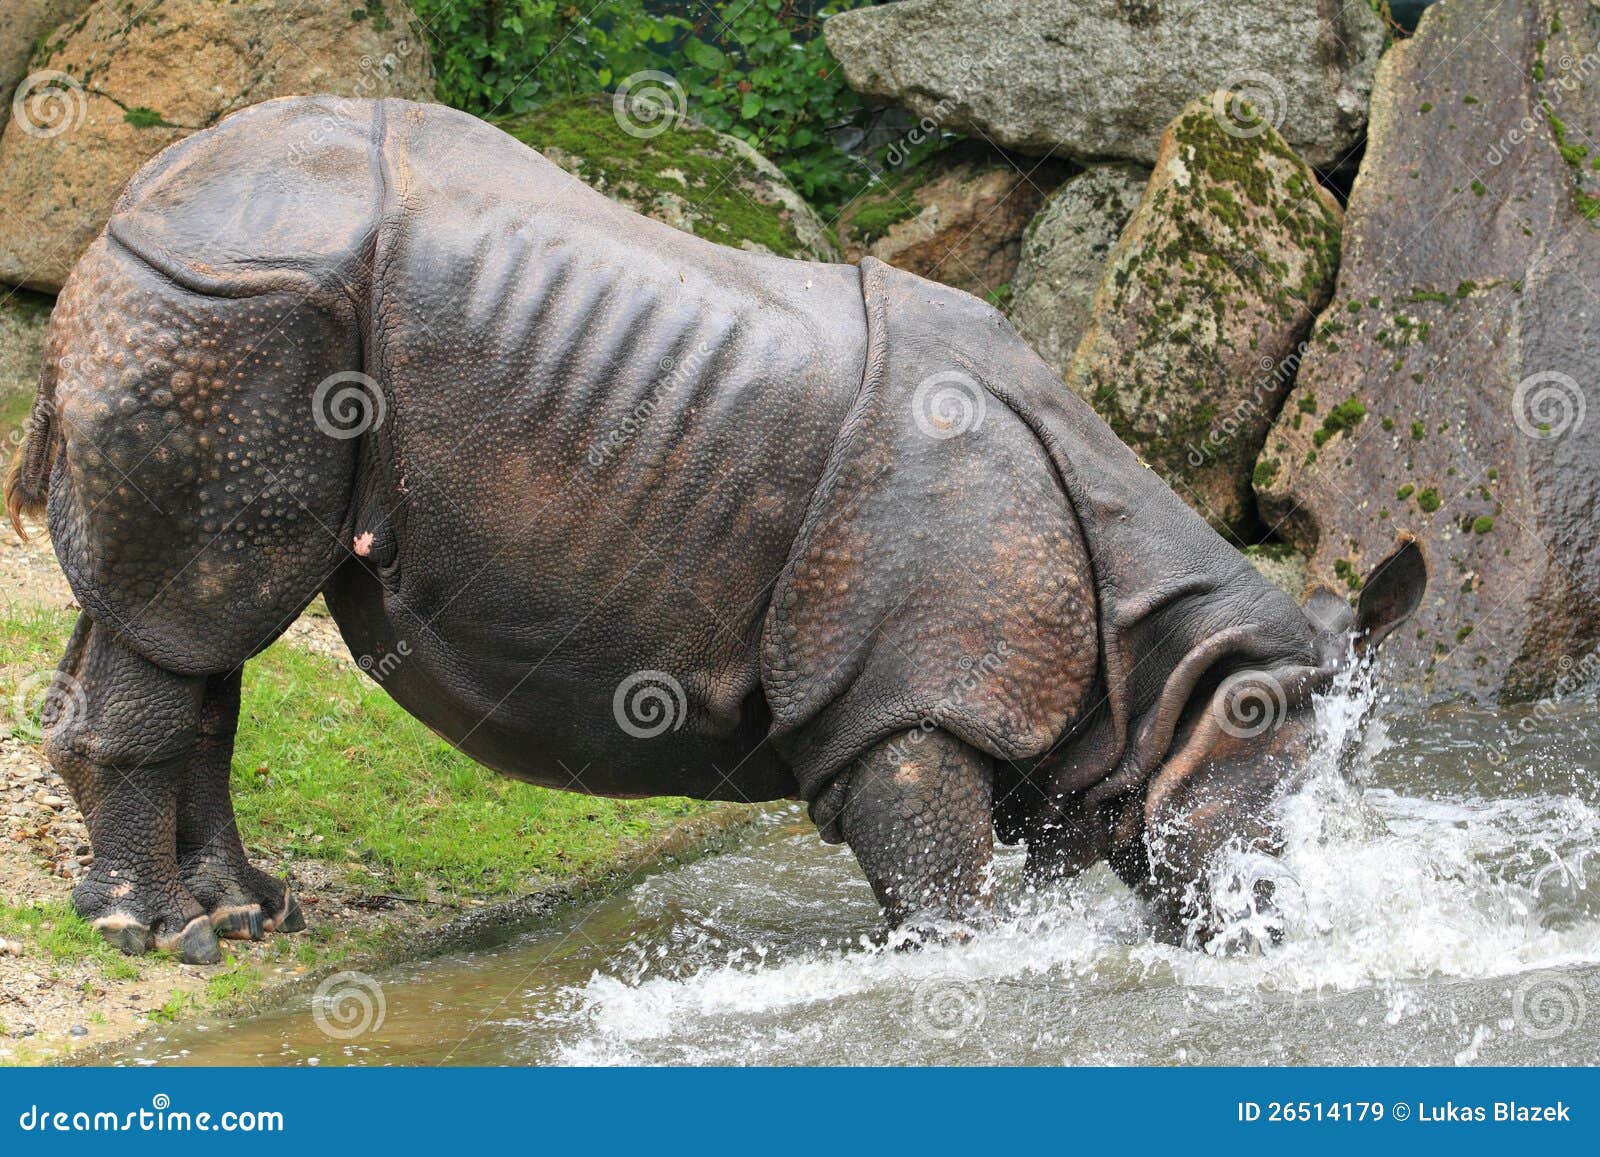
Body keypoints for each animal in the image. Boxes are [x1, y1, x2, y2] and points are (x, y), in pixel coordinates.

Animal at [5, 98, 1425, 963]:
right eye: (1264, 834)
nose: (1267, 930)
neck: (1169, 657)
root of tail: (135, 194)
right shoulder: (903, 699)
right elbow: (940, 884)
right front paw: (951, 973)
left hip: (231, 308)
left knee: (202, 629)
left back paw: (250, 915)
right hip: (232, 309)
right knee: (197, 611)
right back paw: (159, 933)